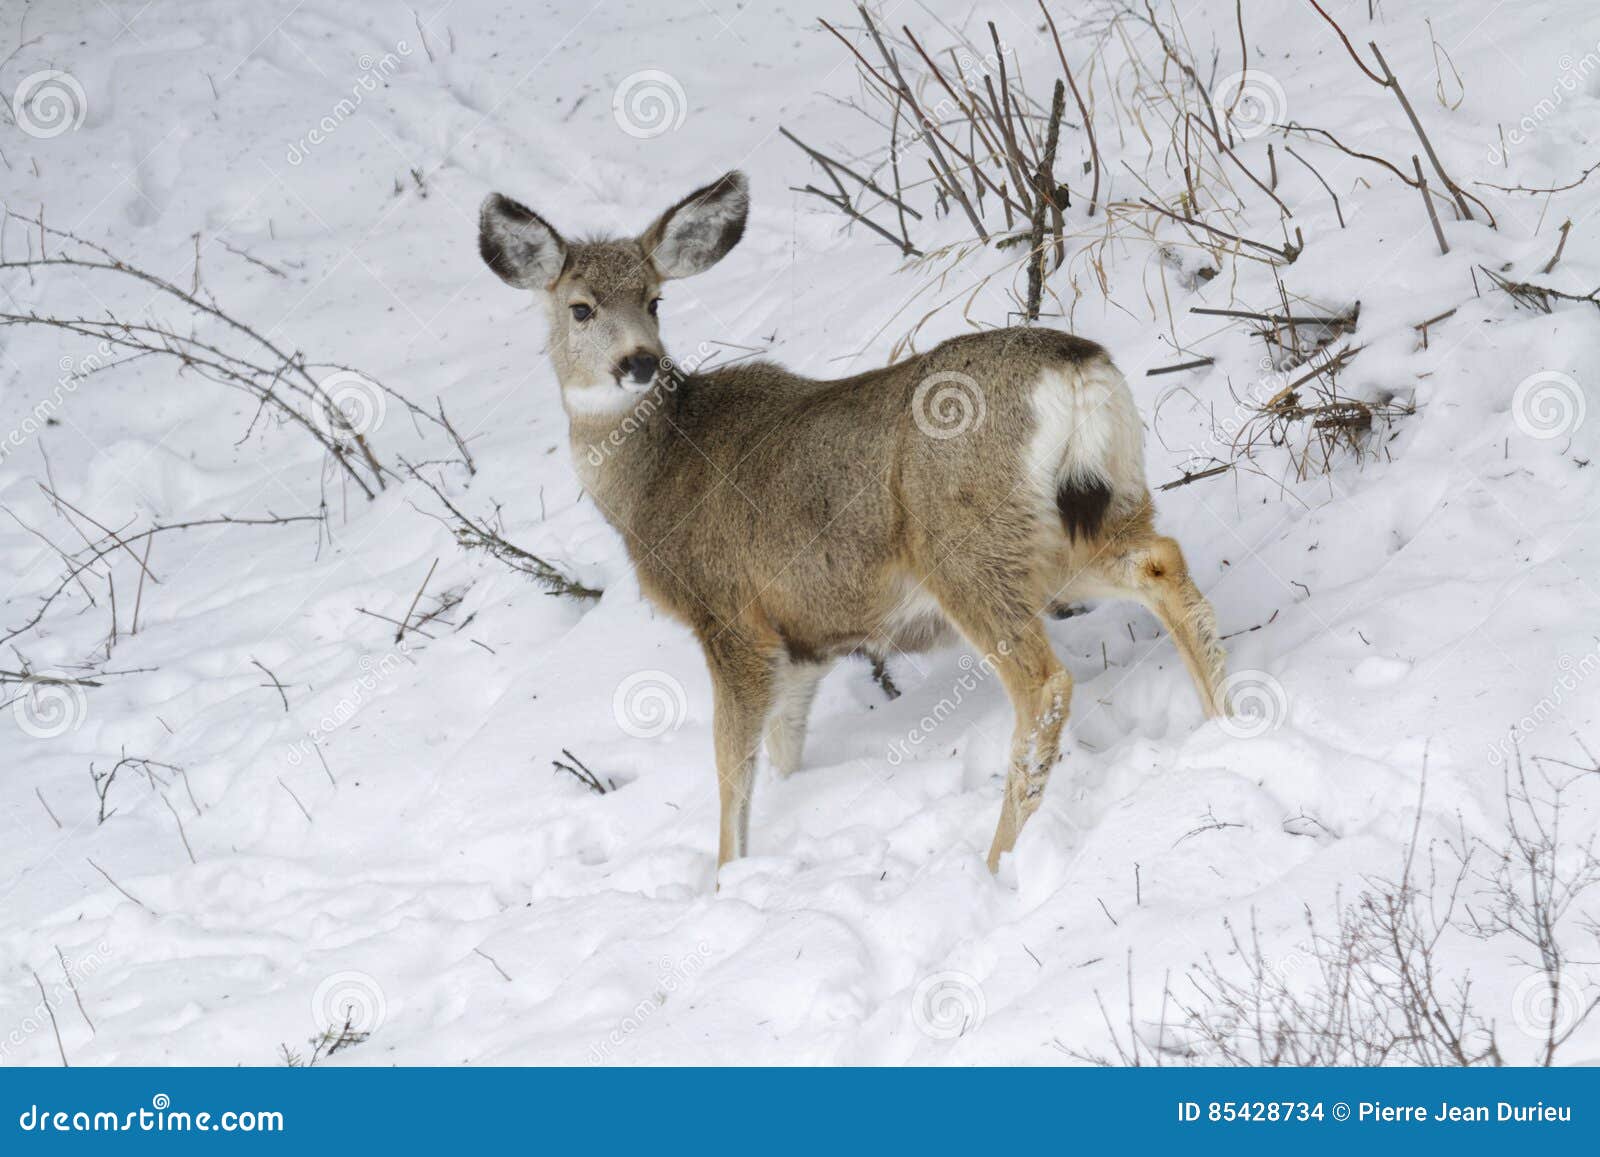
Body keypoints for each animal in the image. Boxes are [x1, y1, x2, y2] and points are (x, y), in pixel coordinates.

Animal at [478, 170, 1229, 877]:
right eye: (580, 308)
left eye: (654, 300)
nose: (638, 362)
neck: (650, 476)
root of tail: (1075, 369)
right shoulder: (802, 636)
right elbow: (784, 748)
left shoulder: (729, 616)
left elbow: (731, 766)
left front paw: (725, 878)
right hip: (1087, 516)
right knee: (1163, 564)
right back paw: (1225, 723)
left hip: (966, 545)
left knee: (1043, 684)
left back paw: (996, 861)